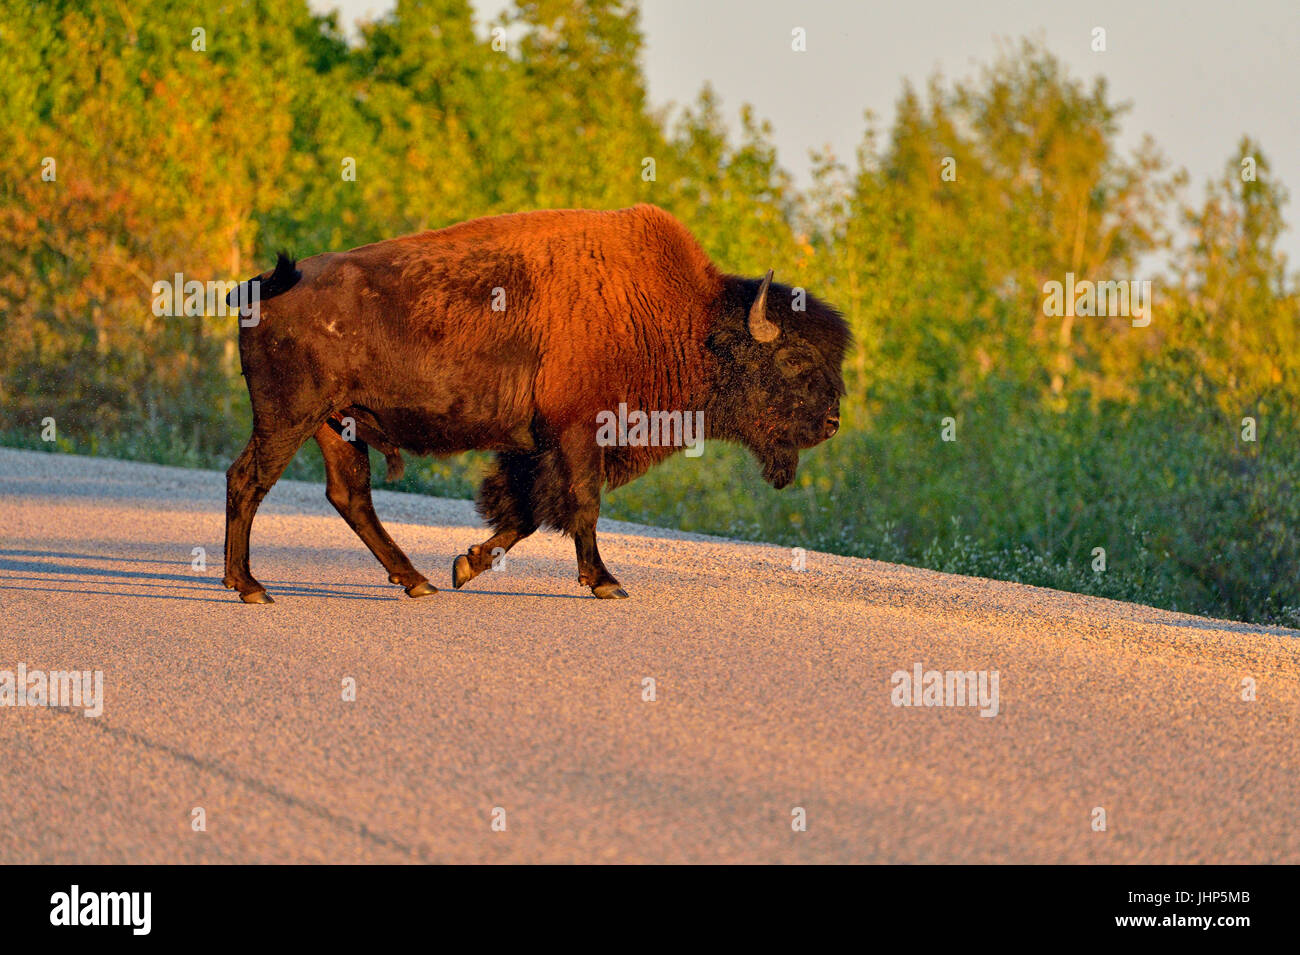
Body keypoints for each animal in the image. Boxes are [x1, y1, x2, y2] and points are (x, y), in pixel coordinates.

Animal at [222, 204, 849, 603]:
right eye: (794, 360)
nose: (832, 422)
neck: (687, 323)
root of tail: (265, 284)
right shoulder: (579, 435)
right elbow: (580, 506)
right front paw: (606, 582)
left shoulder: (541, 447)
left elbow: (528, 512)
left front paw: (466, 565)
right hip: (290, 418)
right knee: (248, 479)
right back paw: (249, 587)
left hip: (335, 423)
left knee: (350, 496)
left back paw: (417, 581)